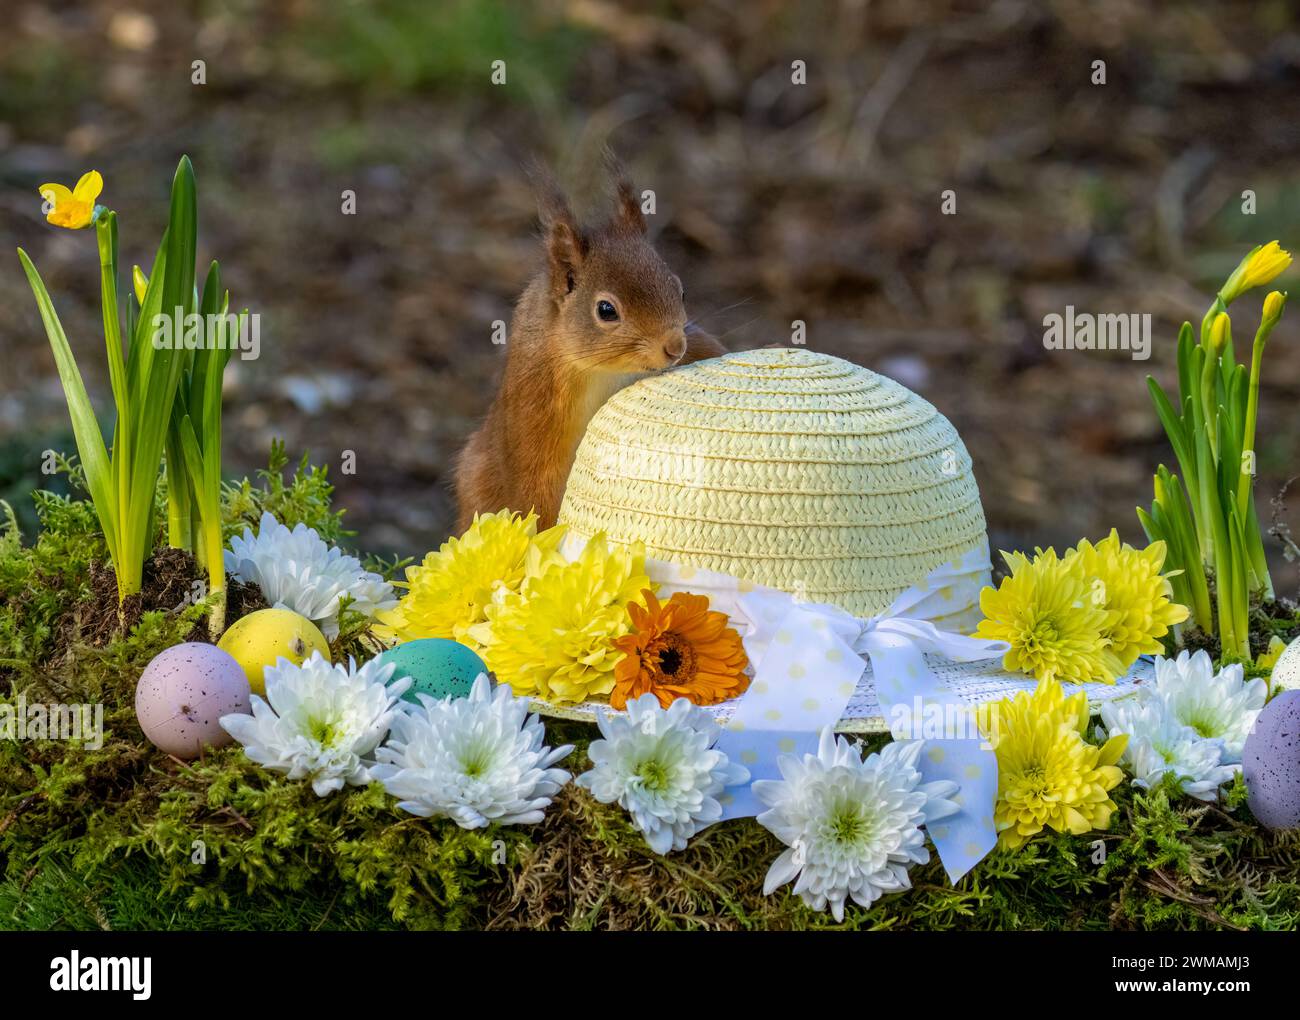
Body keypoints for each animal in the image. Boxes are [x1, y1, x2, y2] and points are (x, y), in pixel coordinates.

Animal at [454, 155, 725, 532]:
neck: (604, 375)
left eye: (680, 290)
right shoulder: (533, 418)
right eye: (606, 310)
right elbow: (534, 498)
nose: (675, 348)